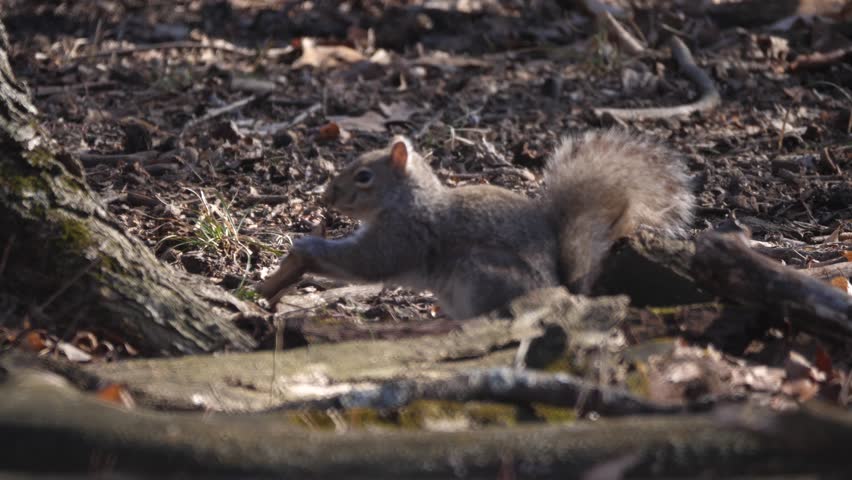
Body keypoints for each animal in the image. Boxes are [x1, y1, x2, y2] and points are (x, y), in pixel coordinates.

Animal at [257, 129, 694, 319]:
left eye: (364, 176)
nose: (326, 197)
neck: (409, 199)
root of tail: (563, 291)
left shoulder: (402, 235)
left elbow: (366, 262)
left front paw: (306, 248)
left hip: (481, 274)